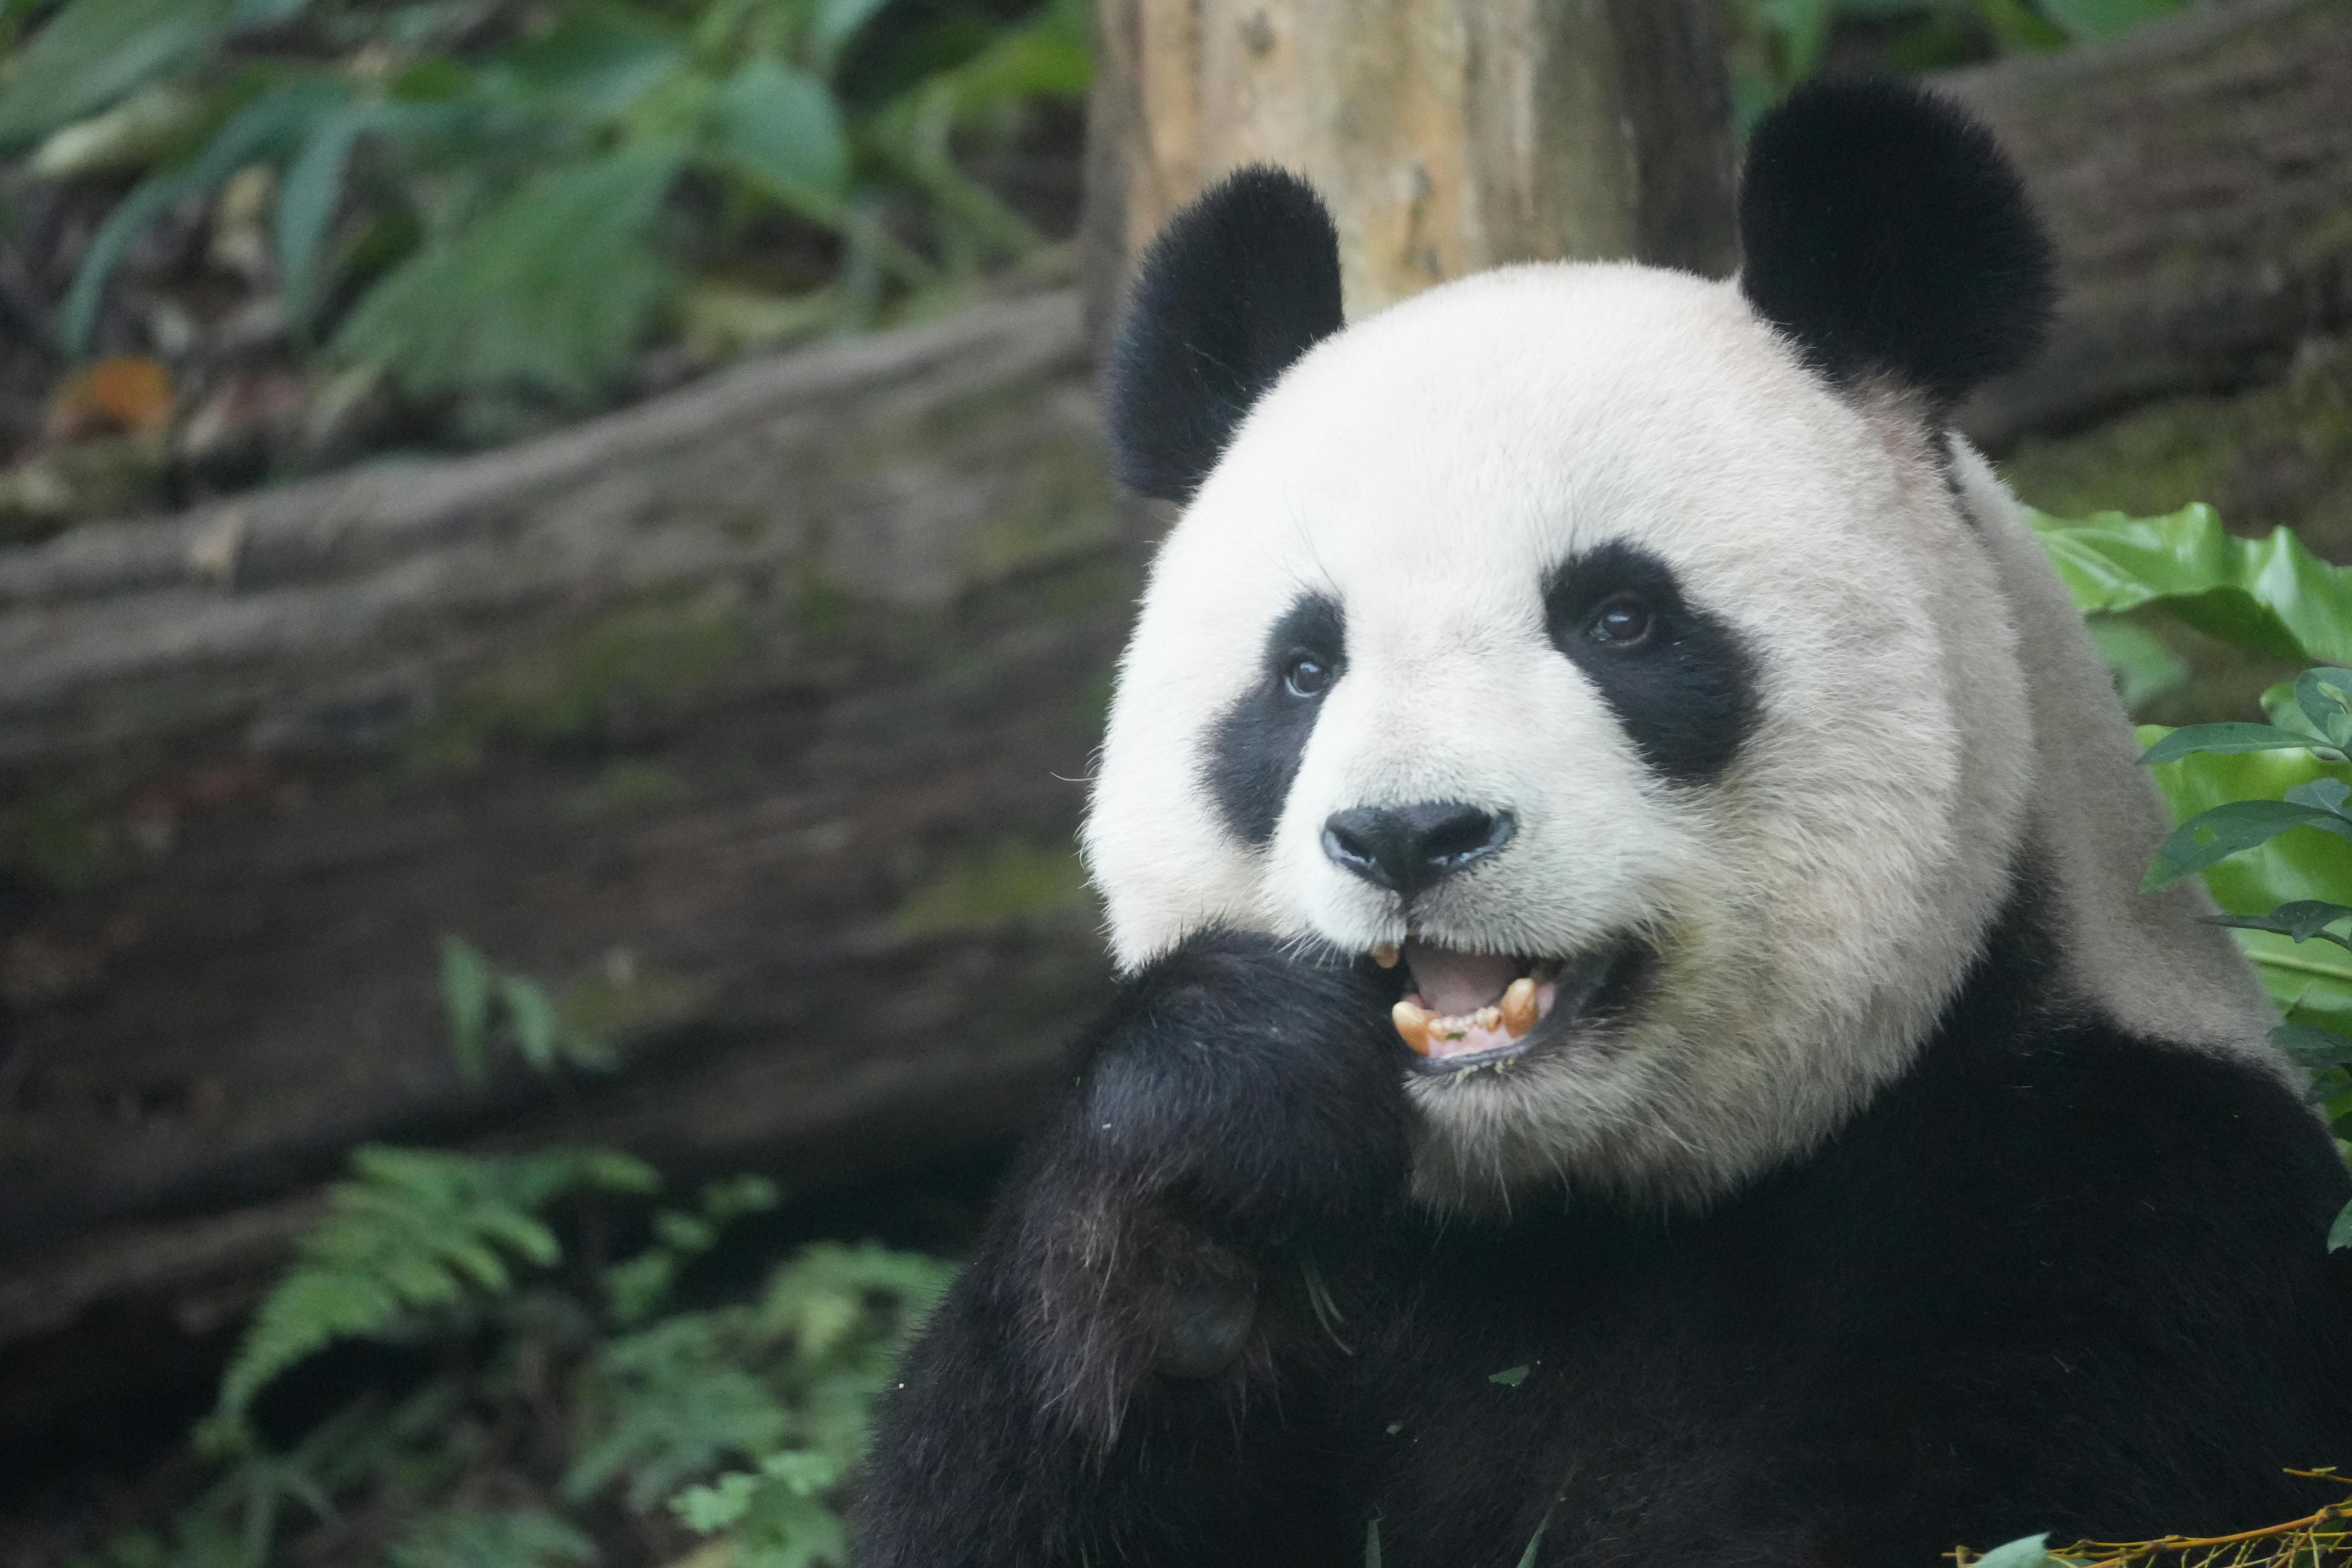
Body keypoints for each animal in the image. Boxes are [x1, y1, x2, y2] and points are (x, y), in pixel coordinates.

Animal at [855, 79, 2352, 1566]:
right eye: (1305, 667)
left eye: (1621, 619)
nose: (1408, 833)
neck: (1564, 1218)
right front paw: (1213, 1157)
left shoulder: (2117, 1209)